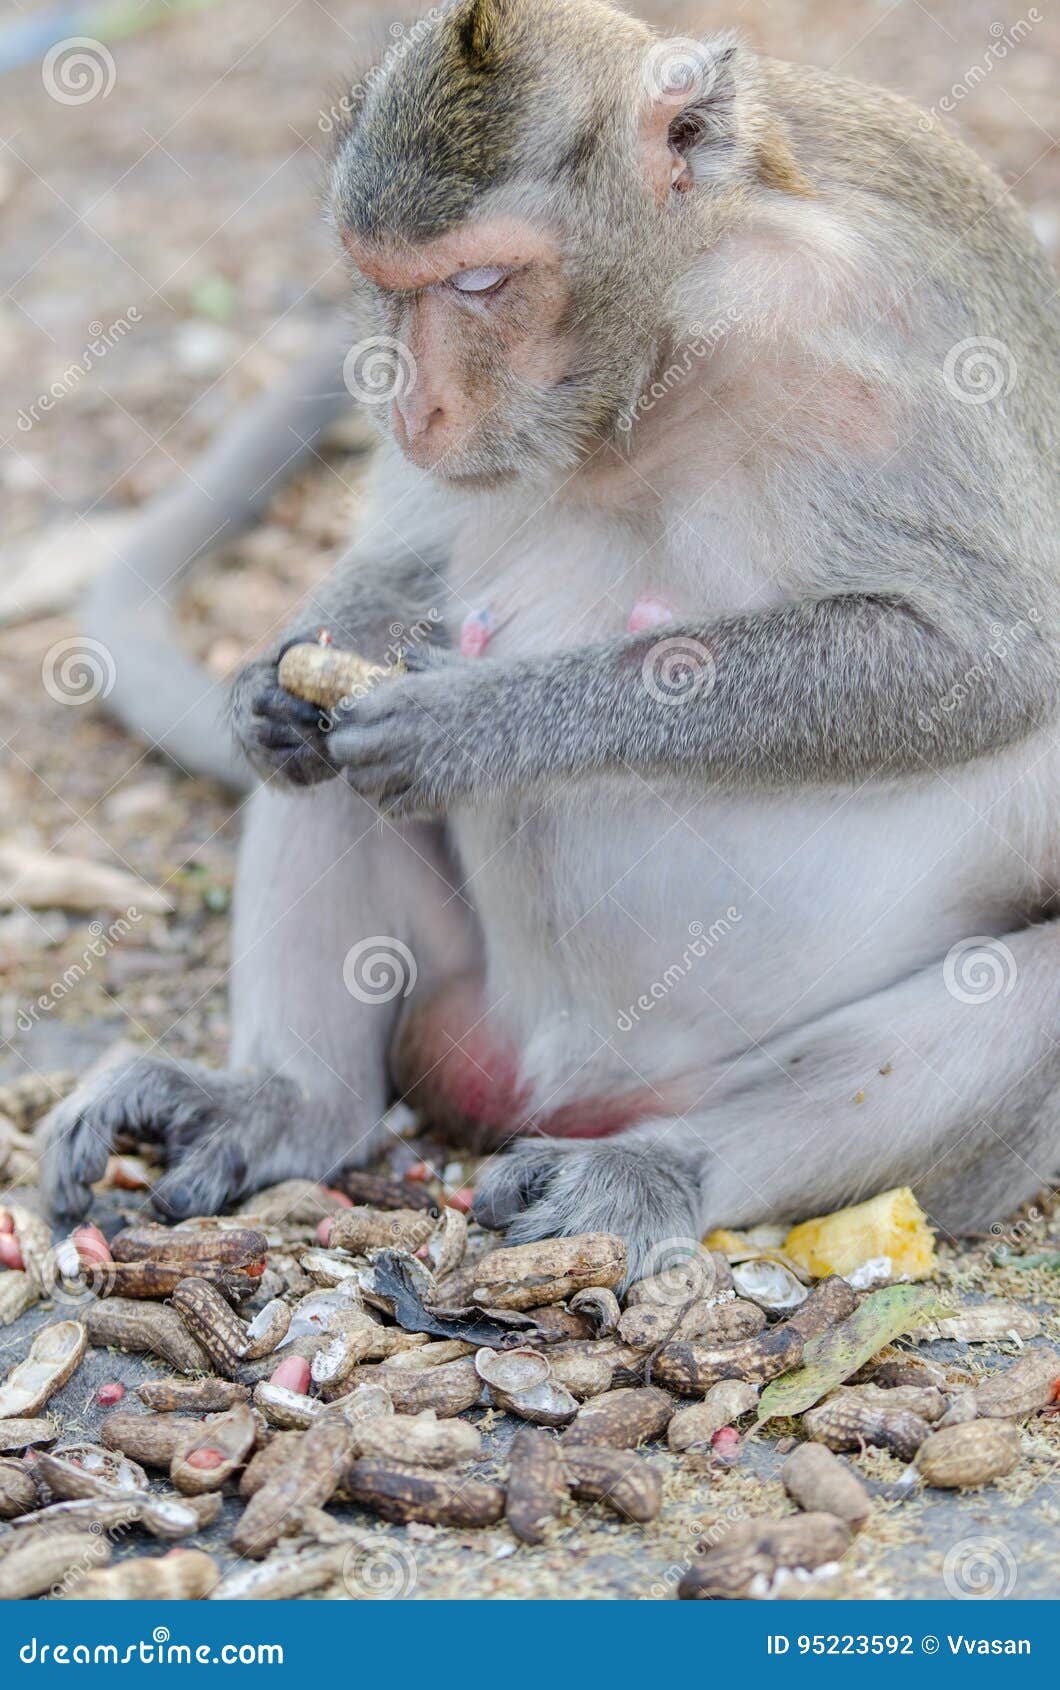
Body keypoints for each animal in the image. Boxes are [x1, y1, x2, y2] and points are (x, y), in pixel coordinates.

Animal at [41, 0, 1060, 1280]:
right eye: (386, 286)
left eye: (482, 281)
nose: (409, 403)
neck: (670, 354)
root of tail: (548, 1080)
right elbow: (405, 565)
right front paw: (269, 688)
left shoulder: (877, 328)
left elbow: (985, 658)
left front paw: (482, 724)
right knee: (322, 780)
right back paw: (284, 1100)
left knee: (1020, 992)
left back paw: (657, 1169)